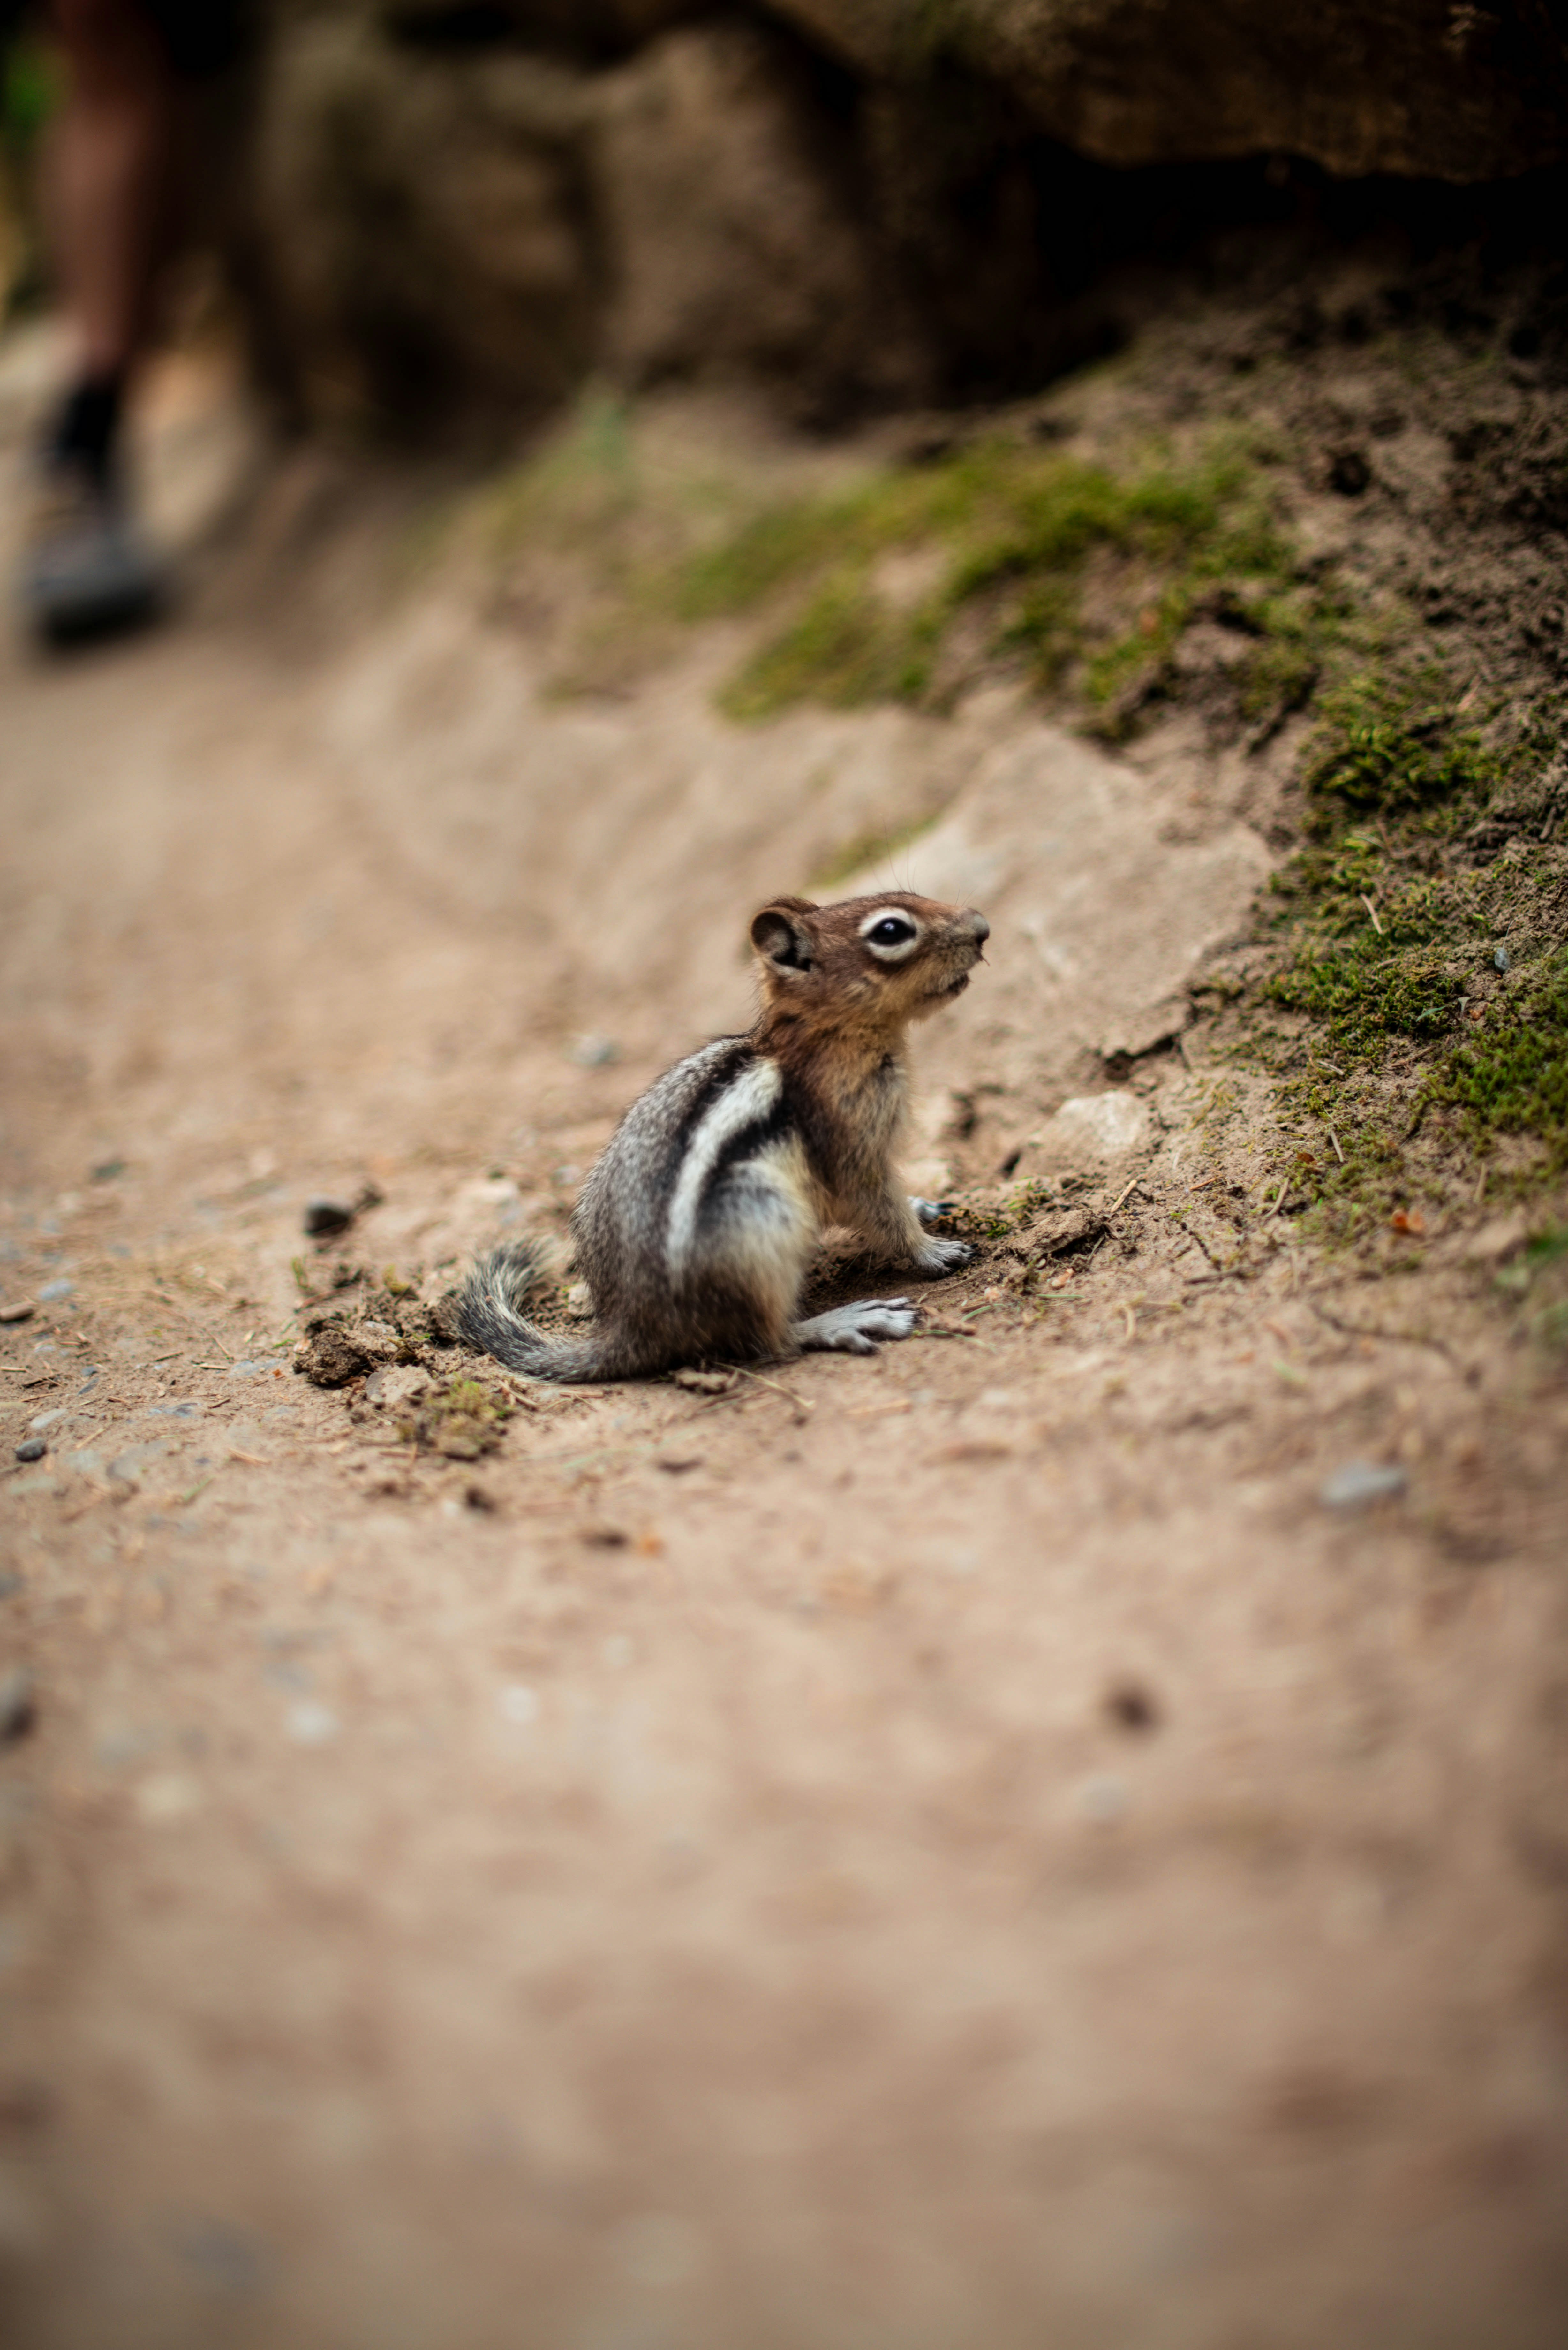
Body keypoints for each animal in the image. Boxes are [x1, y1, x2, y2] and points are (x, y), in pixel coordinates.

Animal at [457, 889, 989, 1382]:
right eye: (891, 931)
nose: (983, 927)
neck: (827, 1039)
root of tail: (631, 1330)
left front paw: (922, 1204)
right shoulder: (849, 1146)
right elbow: (878, 1210)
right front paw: (932, 1250)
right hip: (759, 1219)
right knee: (766, 1340)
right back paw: (845, 1321)